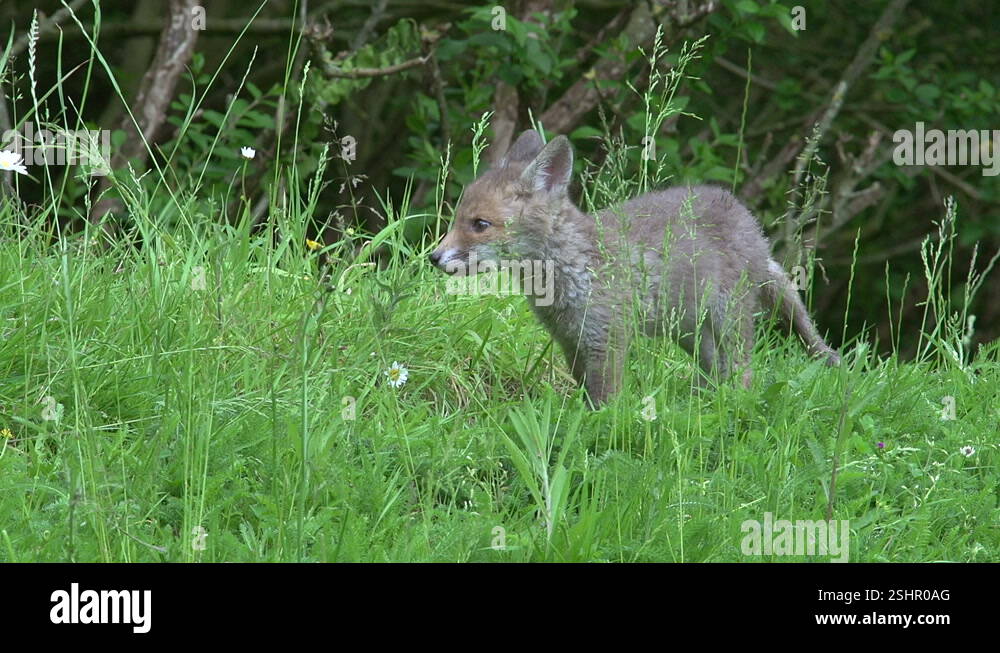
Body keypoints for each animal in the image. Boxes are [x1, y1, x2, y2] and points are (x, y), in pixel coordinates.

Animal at [430, 129, 840, 407]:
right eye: (457, 217)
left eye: (480, 224)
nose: (433, 257)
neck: (570, 273)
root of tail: (746, 216)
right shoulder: (571, 341)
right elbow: (584, 396)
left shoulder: (608, 339)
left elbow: (604, 403)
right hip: (689, 332)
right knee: (716, 372)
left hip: (729, 320)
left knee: (744, 372)